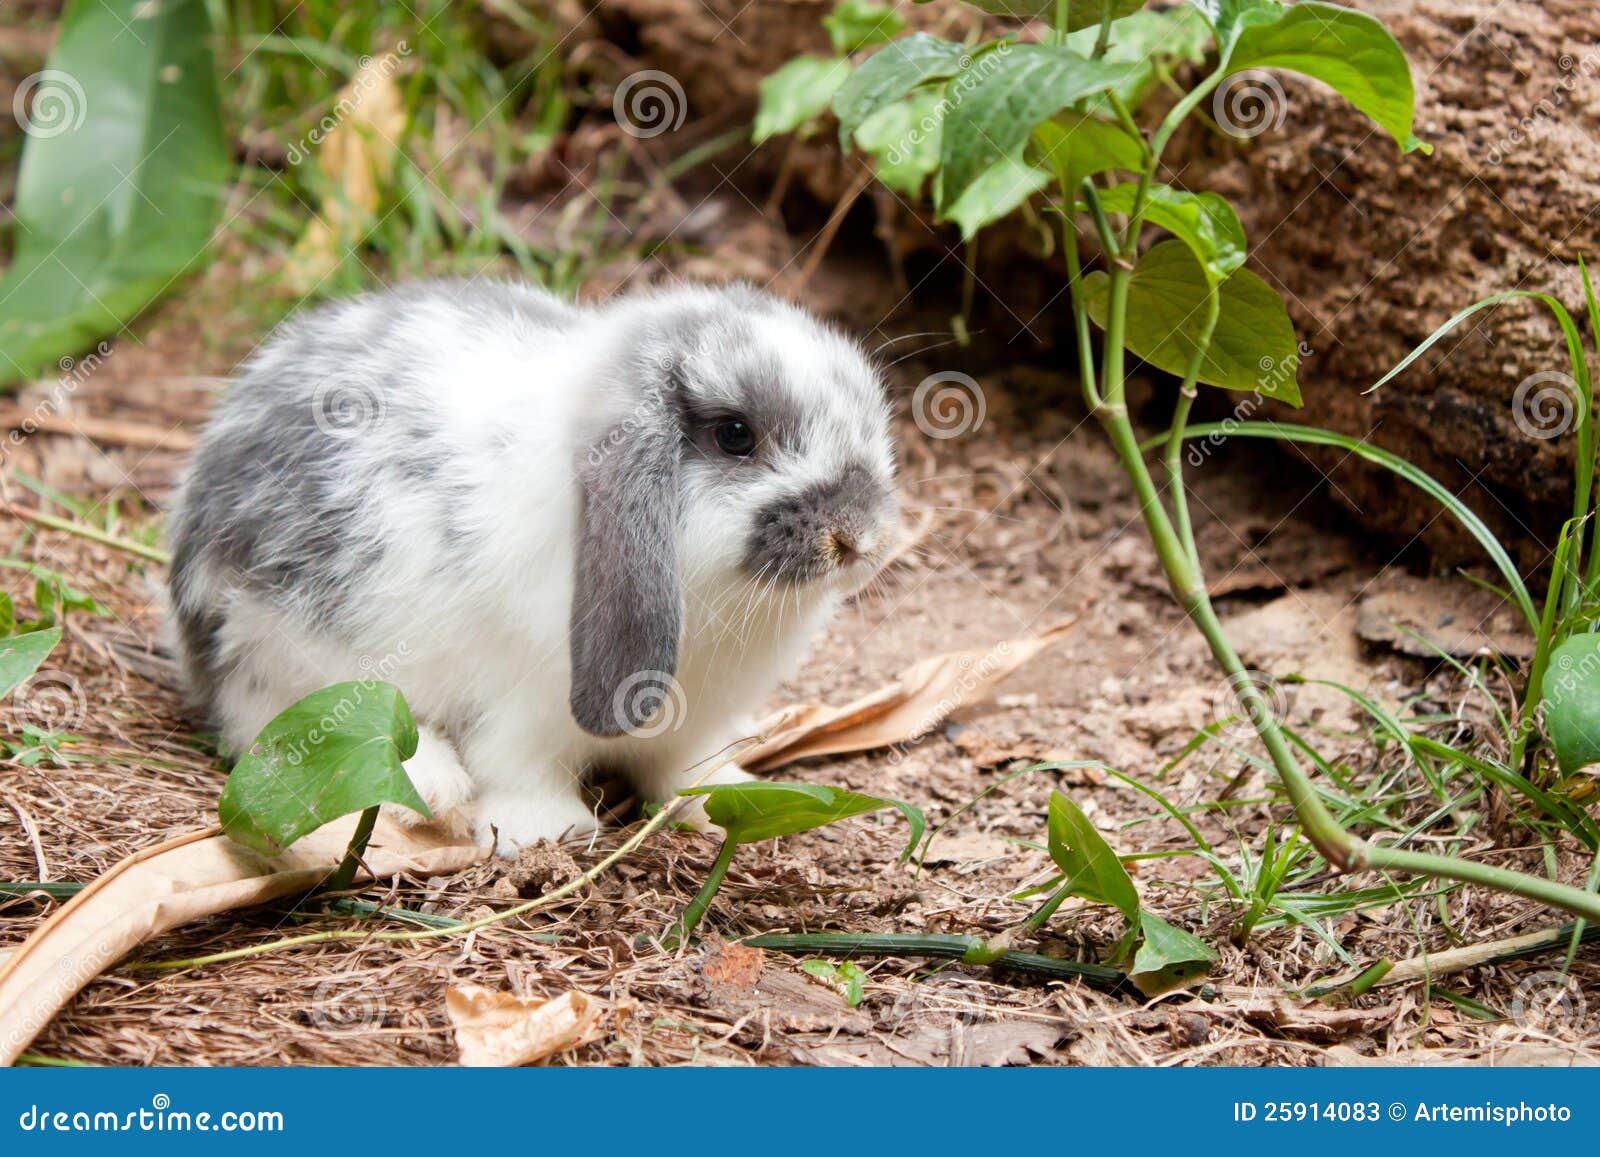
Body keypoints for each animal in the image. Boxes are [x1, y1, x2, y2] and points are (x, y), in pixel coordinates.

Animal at [165, 279, 901, 855]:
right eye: (735, 435)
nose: (858, 536)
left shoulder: (694, 725)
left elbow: (685, 768)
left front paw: (729, 799)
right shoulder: (527, 707)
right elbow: (519, 767)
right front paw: (549, 830)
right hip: (281, 649)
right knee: (279, 727)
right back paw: (434, 782)